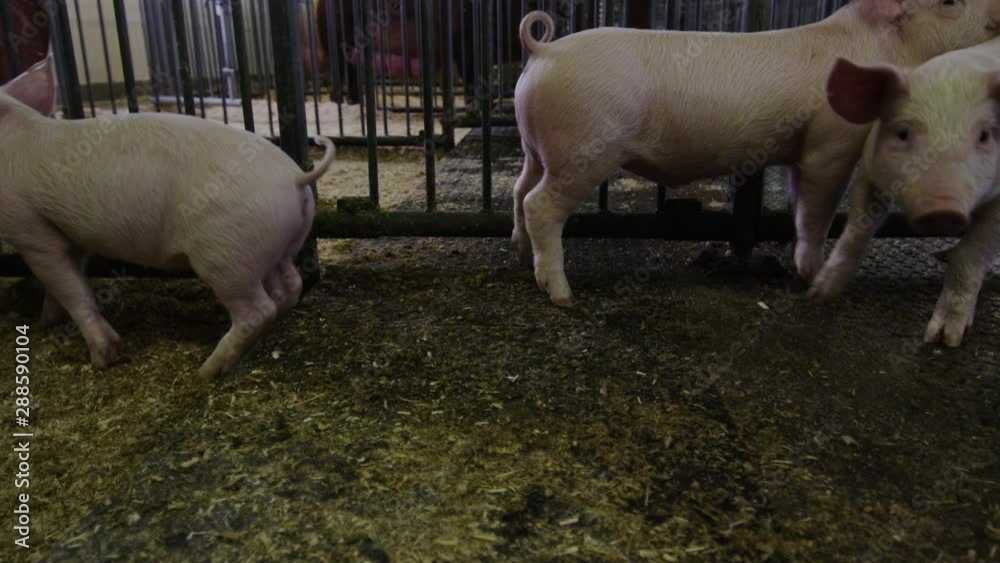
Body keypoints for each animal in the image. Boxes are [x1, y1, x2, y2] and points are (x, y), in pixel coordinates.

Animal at [0, 56, 336, 378]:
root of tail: (294, 177)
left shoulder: (27, 226)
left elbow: (67, 286)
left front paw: (101, 360)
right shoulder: (70, 233)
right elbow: (70, 281)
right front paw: (46, 321)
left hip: (226, 255)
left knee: (257, 310)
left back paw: (205, 372)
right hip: (275, 248)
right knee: (289, 287)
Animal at [512, 0, 1000, 306]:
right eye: (950, 1)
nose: (996, 12)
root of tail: (545, 49)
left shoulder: (800, 146)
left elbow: (798, 199)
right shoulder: (832, 140)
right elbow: (819, 205)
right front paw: (811, 277)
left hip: (537, 148)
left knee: (520, 190)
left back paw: (519, 250)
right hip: (584, 148)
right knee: (541, 204)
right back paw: (562, 294)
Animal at [809, 38, 1000, 347]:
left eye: (984, 136)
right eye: (902, 133)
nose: (943, 208)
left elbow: (971, 255)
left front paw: (943, 340)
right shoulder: (868, 170)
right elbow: (856, 232)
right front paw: (821, 293)